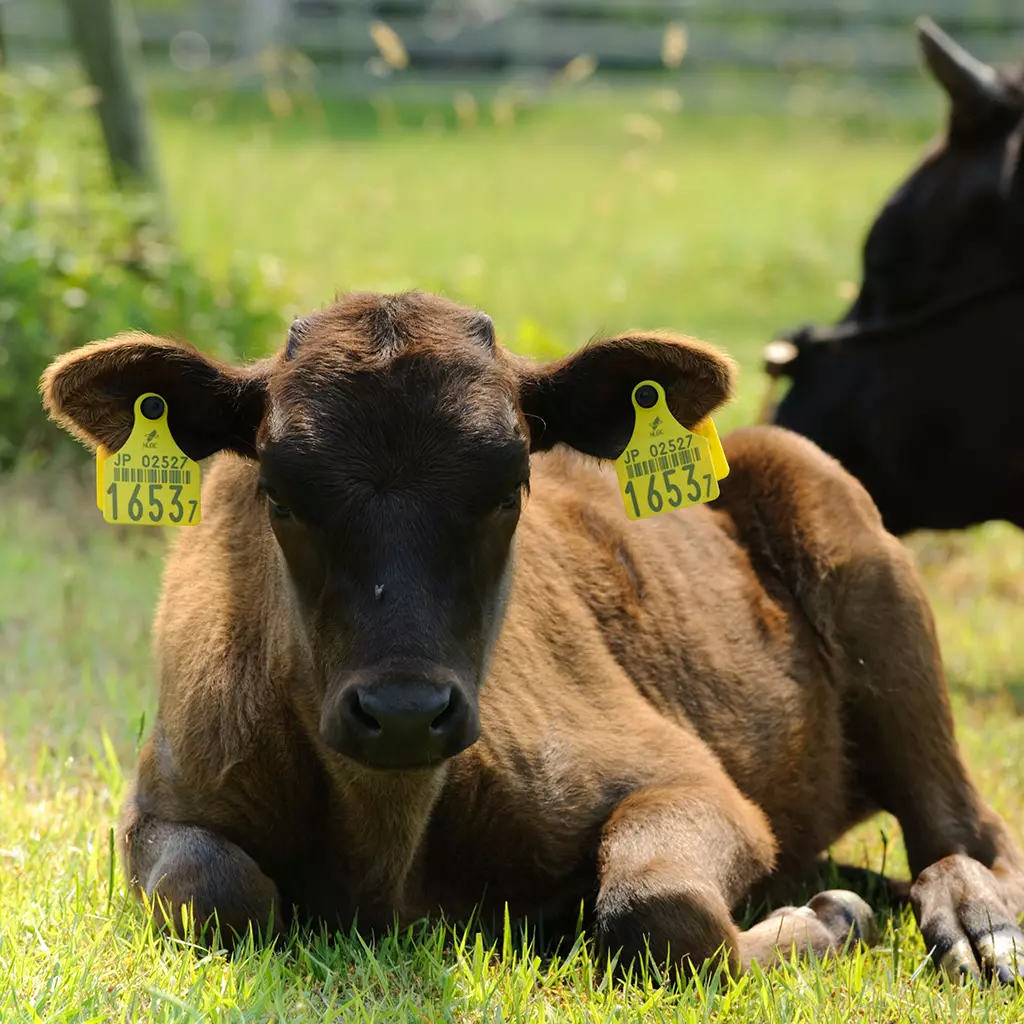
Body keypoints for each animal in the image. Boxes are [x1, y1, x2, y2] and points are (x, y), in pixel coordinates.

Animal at [44, 292, 1024, 978]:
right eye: (277, 492)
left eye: (512, 486)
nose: (405, 710)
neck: (387, 844)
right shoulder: (161, 805)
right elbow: (215, 893)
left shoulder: (688, 778)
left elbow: (657, 906)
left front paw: (825, 920)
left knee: (963, 829)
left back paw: (978, 928)